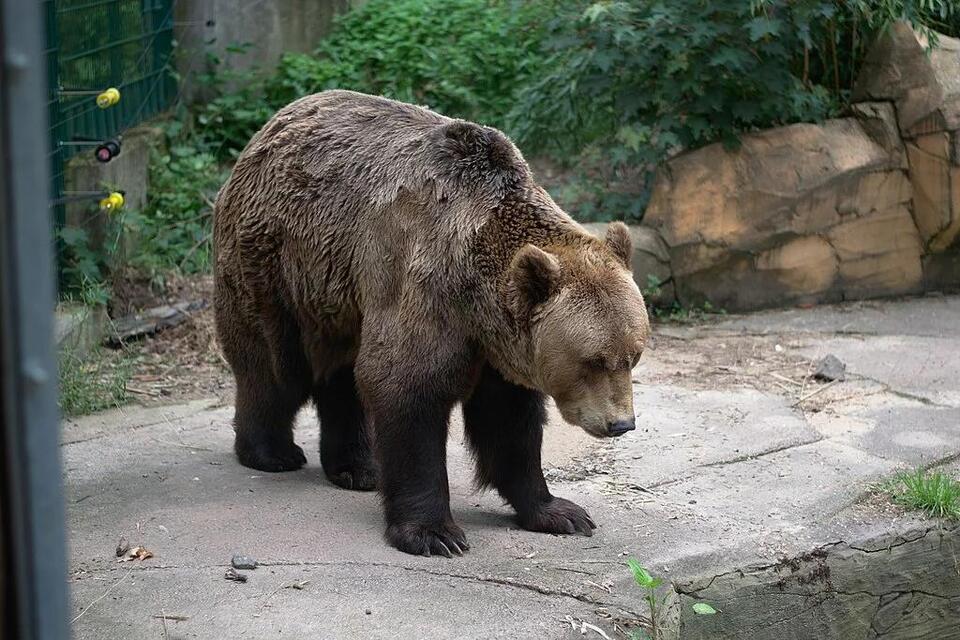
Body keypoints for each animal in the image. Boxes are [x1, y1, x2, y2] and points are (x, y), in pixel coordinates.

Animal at [213, 90, 650, 557]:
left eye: (633, 356)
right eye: (593, 360)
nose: (621, 424)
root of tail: (272, 124)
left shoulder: (497, 342)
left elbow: (509, 422)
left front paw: (559, 512)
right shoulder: (423, 280)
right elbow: (407, 387)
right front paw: (434, 533)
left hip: (340, 293)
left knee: (342, 372)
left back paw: (359, 467)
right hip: (278, 262)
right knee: (274, 365)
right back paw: (272, 453)